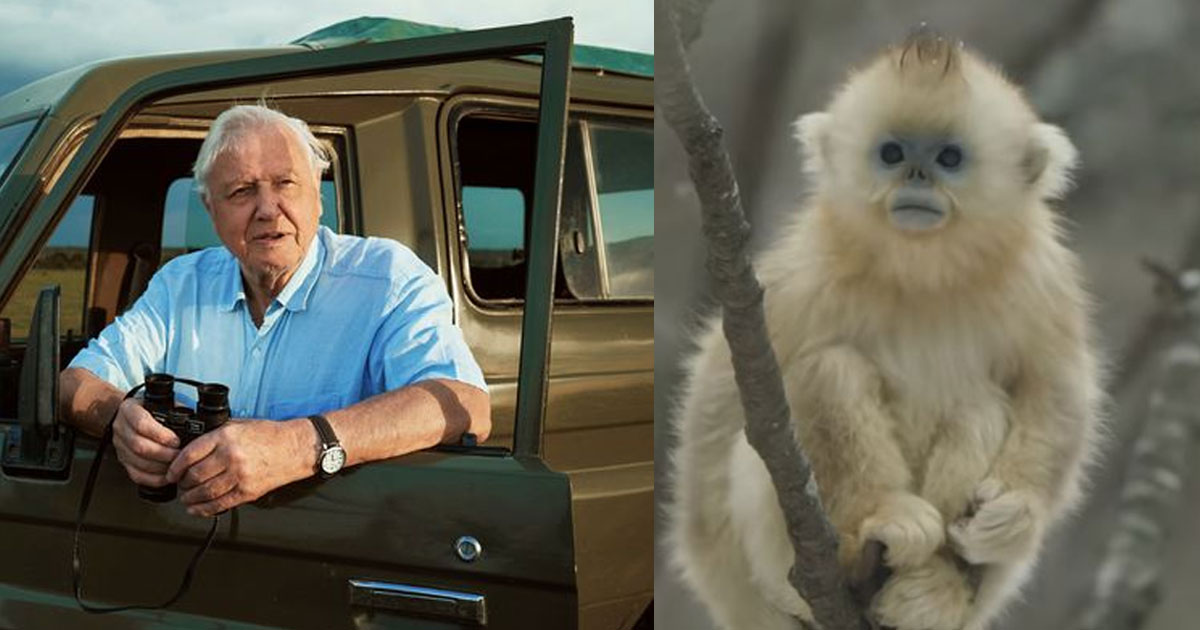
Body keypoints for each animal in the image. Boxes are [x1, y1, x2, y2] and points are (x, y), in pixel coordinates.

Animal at [668, 31, 1103, 630]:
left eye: (948, 158)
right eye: (892, 154)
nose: (916, 177)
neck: (921, 272)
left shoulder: (1043, 279)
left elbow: (1057, 390)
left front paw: (1014, 516)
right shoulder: (794, 283)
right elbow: (713, 416)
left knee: (979, 405)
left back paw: (929, 592)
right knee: (827, 371)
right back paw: (869, 534)